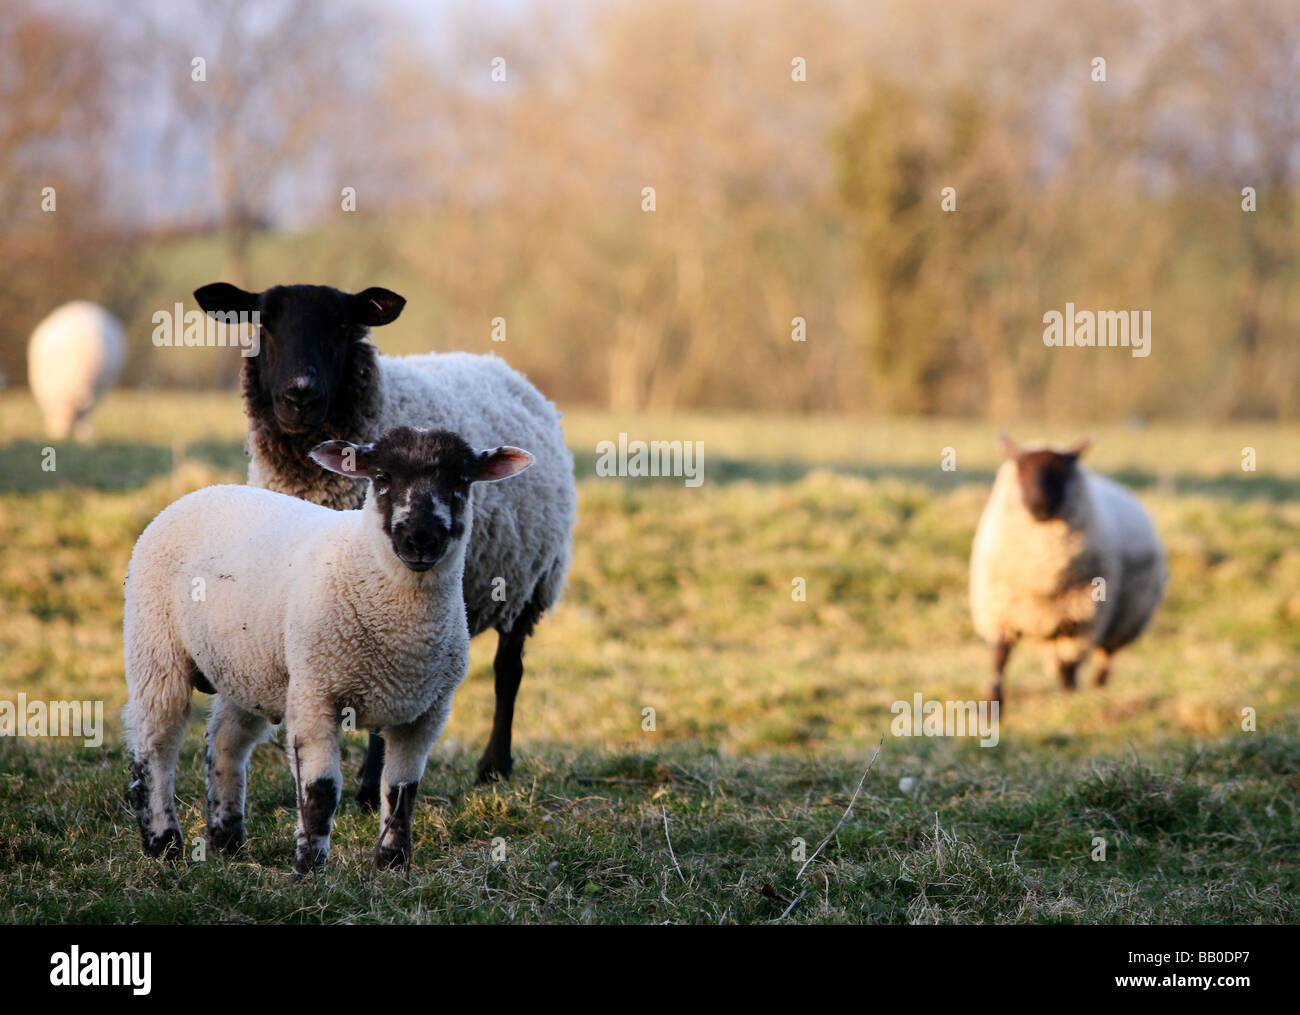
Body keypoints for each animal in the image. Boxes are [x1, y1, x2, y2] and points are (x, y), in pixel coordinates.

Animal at [123, 425, 534, 875]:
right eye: (382, 478)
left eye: (461, 481)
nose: (420, 538)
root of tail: (205, 491)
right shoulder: (315, 693)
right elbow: (320, 790)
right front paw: (310, 869)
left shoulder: (425, 713)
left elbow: (402, 791)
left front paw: (393, 864)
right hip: (156, 649)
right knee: (155, 746)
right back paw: (164, 843)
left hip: (246, 667)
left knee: (226, 744)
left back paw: (227, 841)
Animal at [192, 281, 577, 804]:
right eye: (263, 323)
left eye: (342, 323)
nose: (299, 396)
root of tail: (500, 365)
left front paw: (371, 790)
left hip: (528, 584)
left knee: (507, 672)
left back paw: (494, 767)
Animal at [969, 433, 1167, 706]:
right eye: (1022, 469)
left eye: (1061, 472)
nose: (1040, 505)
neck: (1042, 569)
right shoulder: (1001, 614)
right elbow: (999, 661)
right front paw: (993, 707)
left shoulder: (1081, 620)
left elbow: (1068, 669)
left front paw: (1068, 703)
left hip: (1122, 621)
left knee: (1104, 661)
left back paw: (1099, 693)